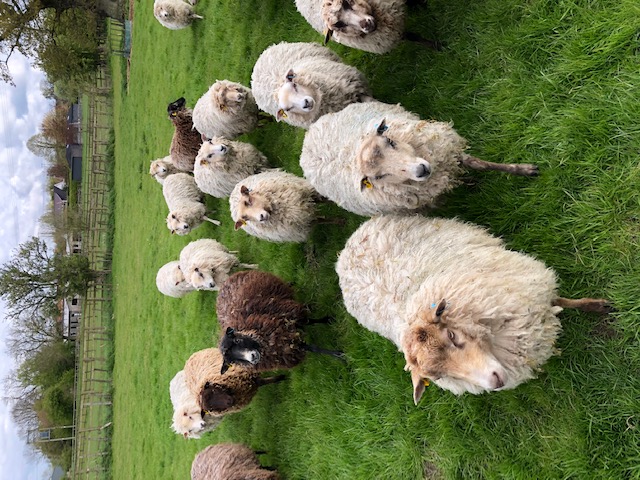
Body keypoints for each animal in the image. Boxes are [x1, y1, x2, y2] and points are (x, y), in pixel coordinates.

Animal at [300, 101, 539, 216]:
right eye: (379, 177)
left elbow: (480, 164)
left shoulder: (447, 150)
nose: (420, 170)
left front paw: (524, 169)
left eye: (391, 141)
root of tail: (307, 139)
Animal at [335, 215, 611, 399]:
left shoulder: (530, 289)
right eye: (437, 377)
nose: (494, 381)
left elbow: (560, 301)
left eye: (451, 335)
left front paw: (596, 305)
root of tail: (345, 249)